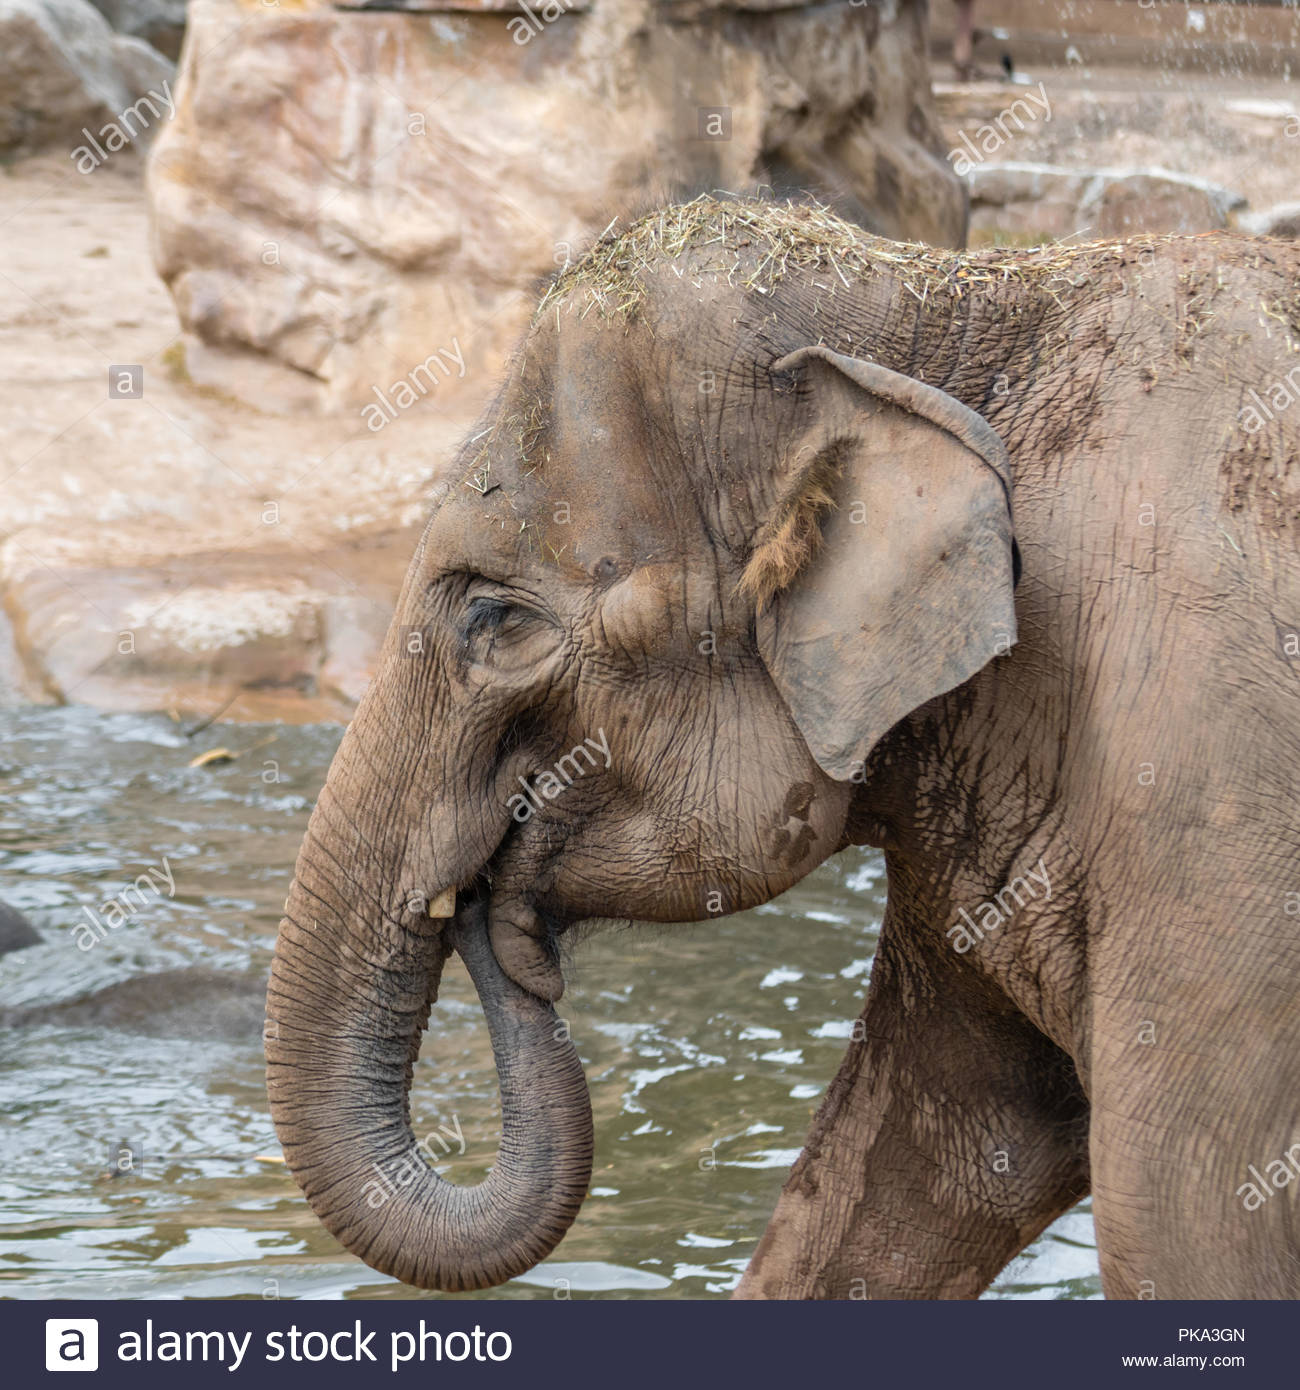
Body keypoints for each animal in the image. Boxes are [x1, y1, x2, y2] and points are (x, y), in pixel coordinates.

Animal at [267, 196, 1300, 1299]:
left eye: (496, 621)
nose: (486, 912)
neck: (959, 304)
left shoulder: (1214, 794)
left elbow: (1182, 1222)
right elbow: (920, 1165)